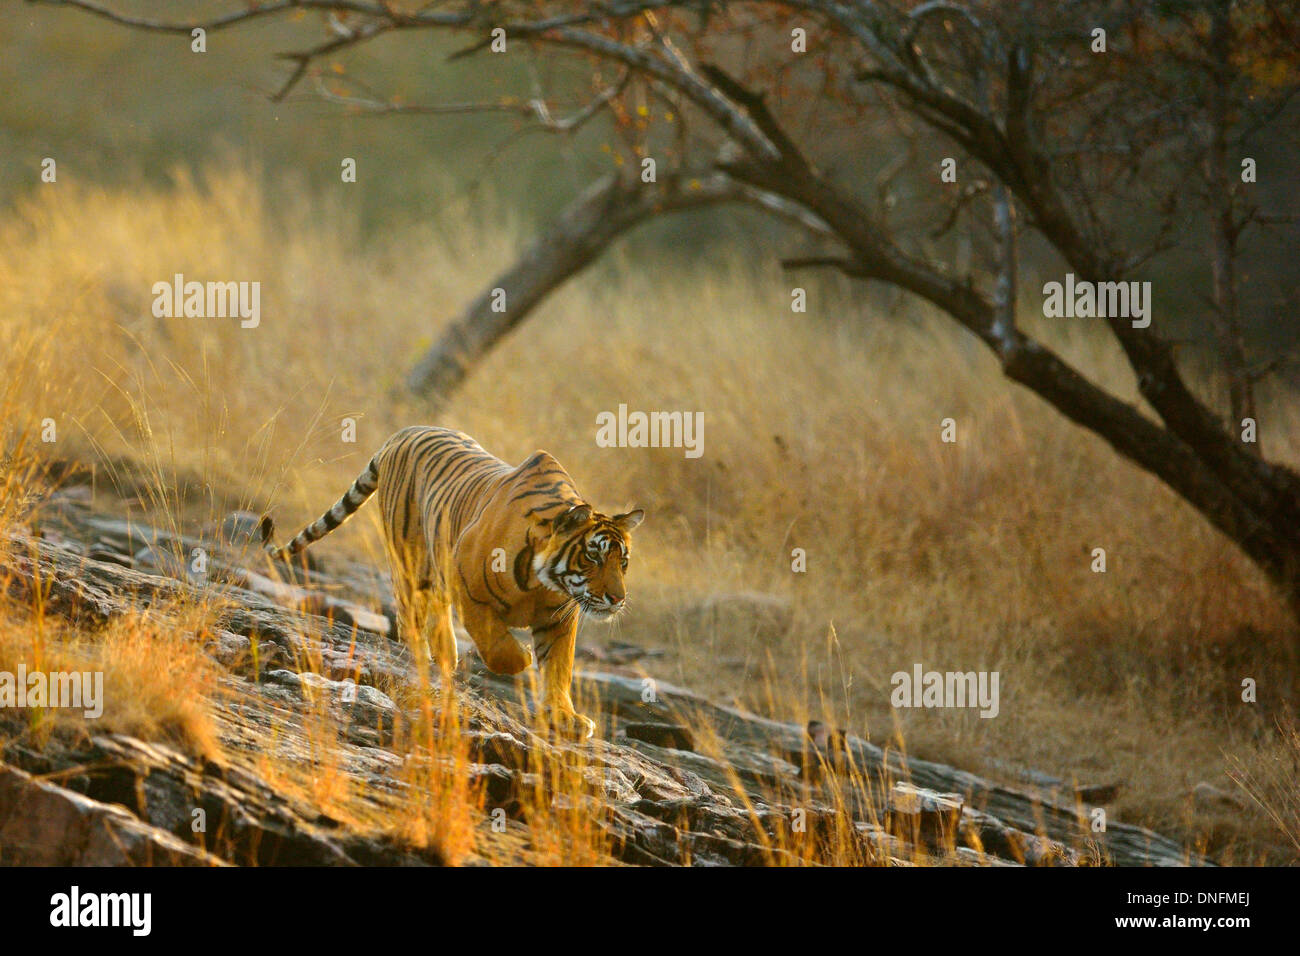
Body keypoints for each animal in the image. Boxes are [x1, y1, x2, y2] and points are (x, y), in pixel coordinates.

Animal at [262, 425, 643, 739]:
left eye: (622, 562)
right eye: (593, 556)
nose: (617, 599)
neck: (542, 582)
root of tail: (402, 433)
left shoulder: (560, 618)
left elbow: (559, 669)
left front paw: (565, 717)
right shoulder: (468, 586)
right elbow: (497, 646)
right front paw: (519, 658)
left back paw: (445, 656)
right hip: (410, 561)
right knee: (409, 615)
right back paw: (424, 655)